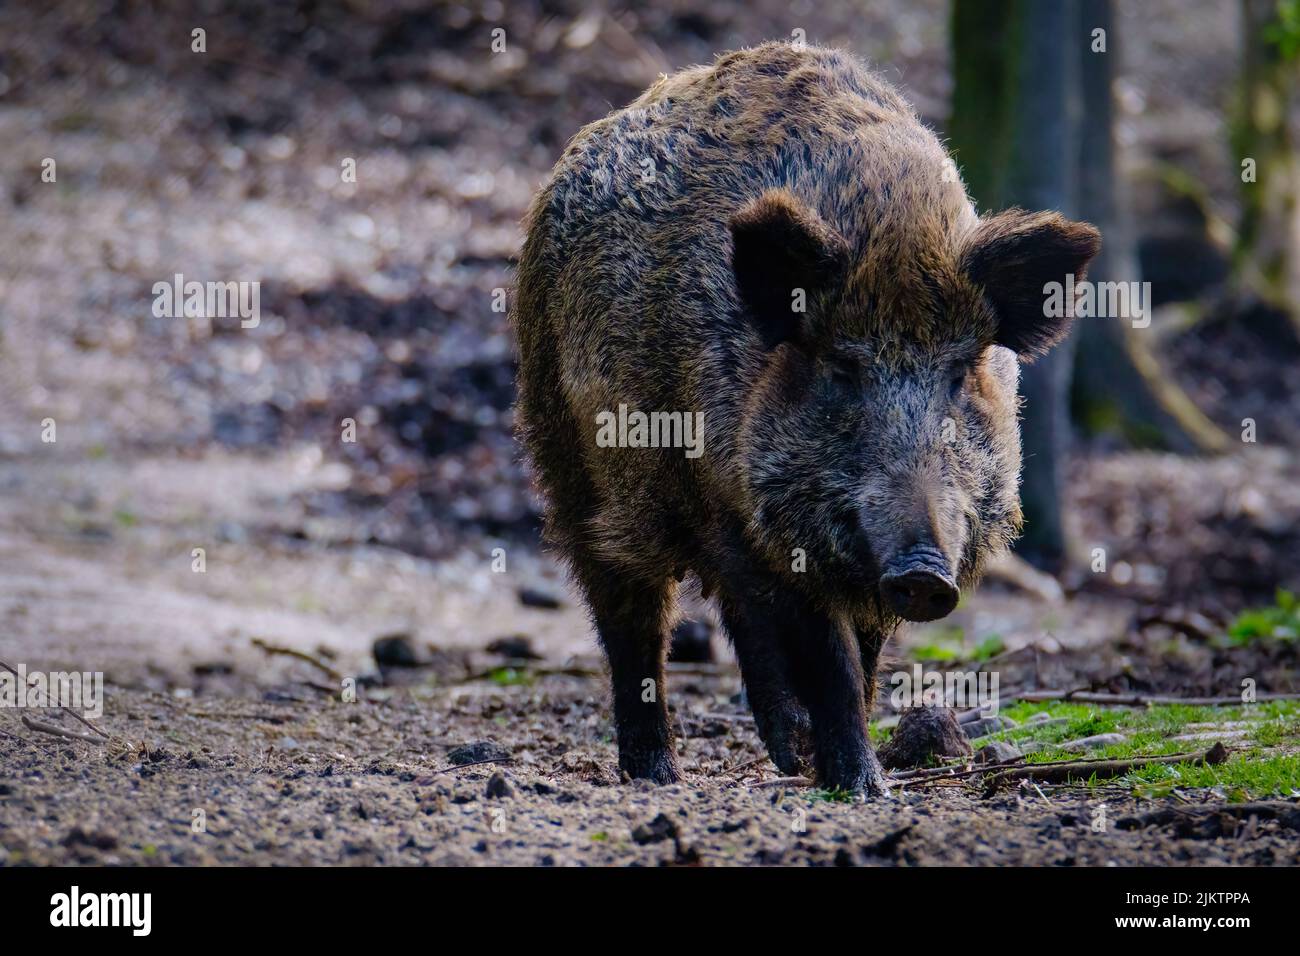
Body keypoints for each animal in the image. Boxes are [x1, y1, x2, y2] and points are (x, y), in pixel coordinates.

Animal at [513, 42, 1099, 795]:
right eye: (843, 369)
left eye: (960, 371)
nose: (924, 572)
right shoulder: (760, 516)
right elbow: (829, 658)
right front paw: (858, 784)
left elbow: (863, 655)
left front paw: (844, 774)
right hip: (571, 458)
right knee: (629, 613)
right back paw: (658, 775)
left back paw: (783, 753)